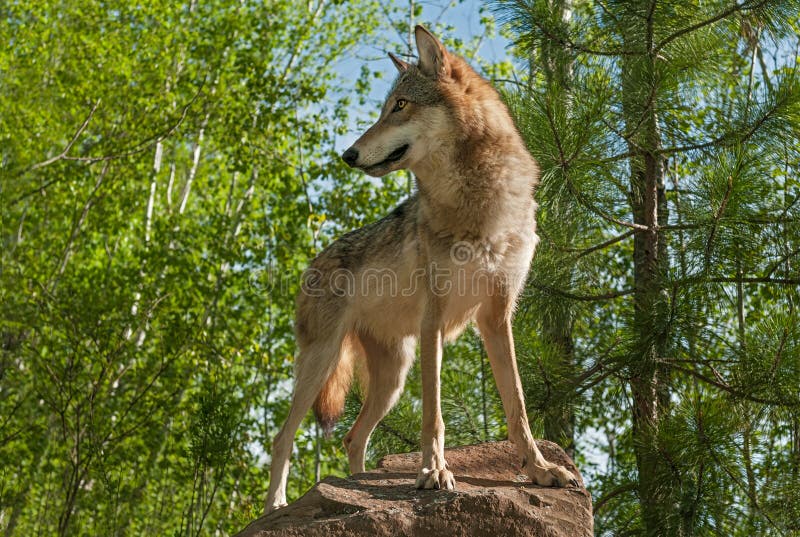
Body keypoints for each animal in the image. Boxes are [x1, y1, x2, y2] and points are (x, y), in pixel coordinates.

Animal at [265, 25, 578, 512]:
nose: (348, 155)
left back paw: (355, 488)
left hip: (392, 377)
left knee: (353, 437)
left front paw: (540, 470)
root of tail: (312, 261)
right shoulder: (436, 320)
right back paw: (276, 505)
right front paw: (433, 472)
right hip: (323, 363)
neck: (479, 202)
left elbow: (519, 408)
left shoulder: (497, 318)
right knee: (283, 438)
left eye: (400, 105)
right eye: (385, 108)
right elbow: (434, 415)